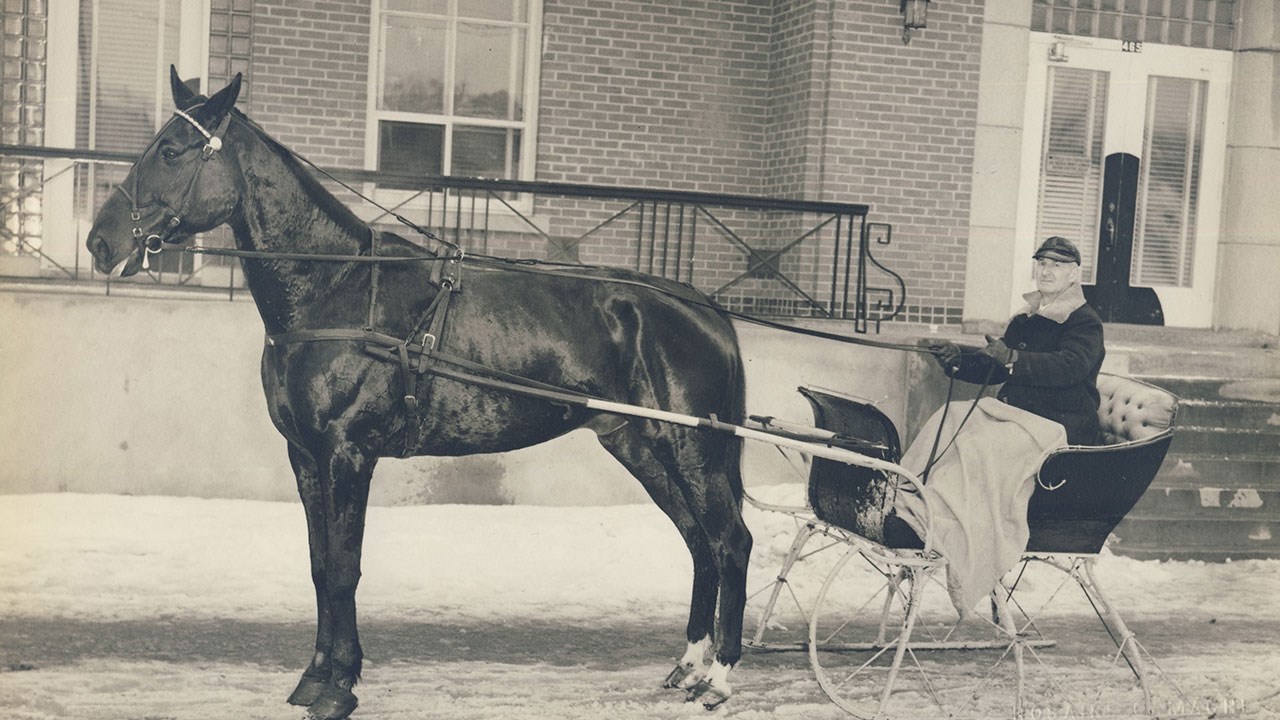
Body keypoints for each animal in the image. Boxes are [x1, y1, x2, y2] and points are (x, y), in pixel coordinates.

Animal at [86, 69, 753, 720]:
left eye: (171, 150)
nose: (99, 242)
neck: (336, 287)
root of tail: (706, 309)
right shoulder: (306, 456)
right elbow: (319, 566)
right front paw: (313, 677)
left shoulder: (348, 453)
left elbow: (344, 569)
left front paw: (340, 686)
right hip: (641, 446)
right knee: (699, 542)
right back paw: (689, 665)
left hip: (691, 449)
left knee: (731, 543)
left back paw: (718, 678)